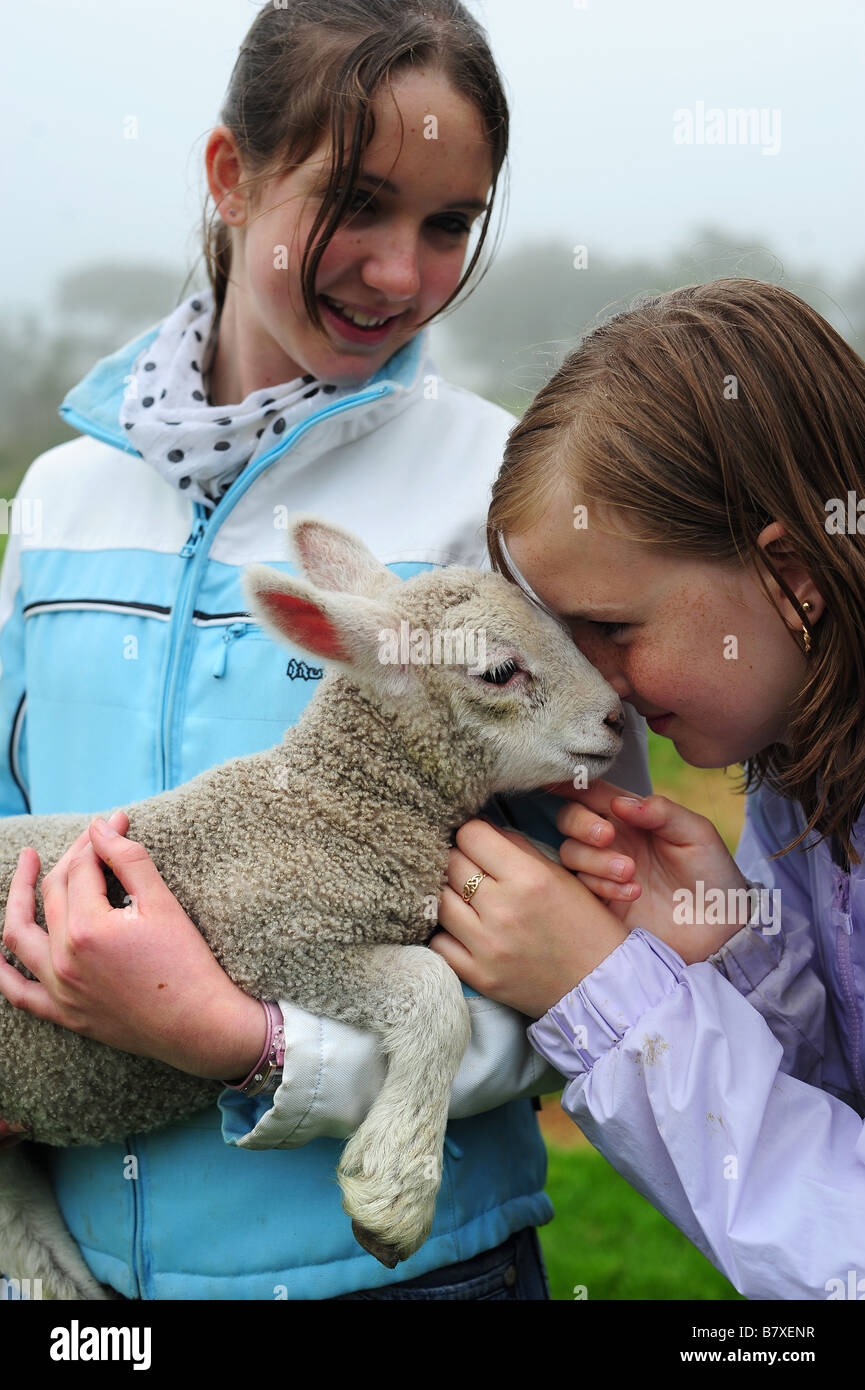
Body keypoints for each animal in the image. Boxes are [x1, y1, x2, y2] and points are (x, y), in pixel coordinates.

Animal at [0, 513, 624, 1299]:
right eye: (499, 672)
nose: (616, 719)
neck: (331, 804)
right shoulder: (277, 930)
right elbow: (435, 993)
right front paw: (392, 1191)